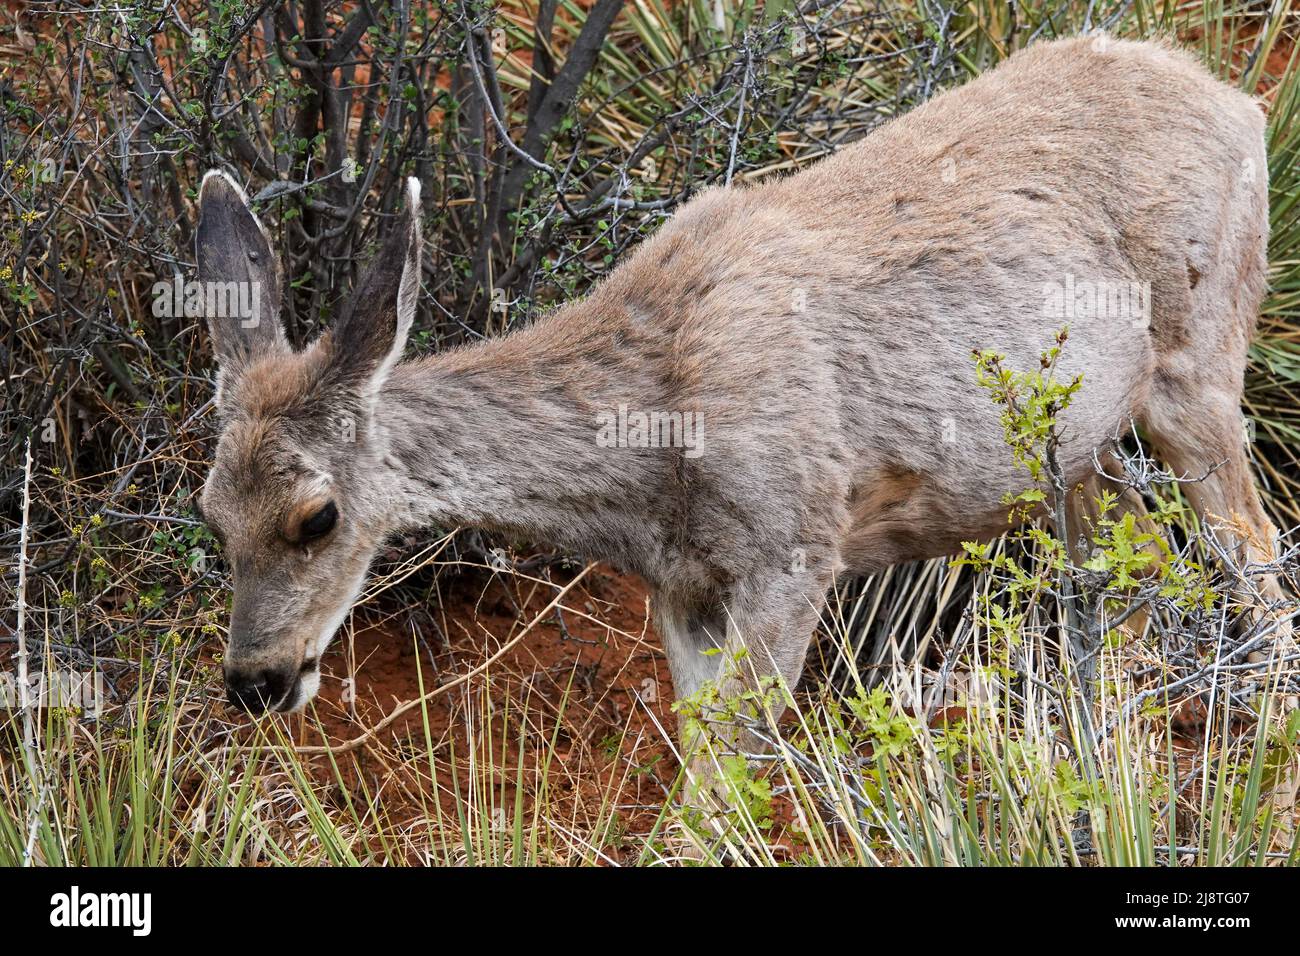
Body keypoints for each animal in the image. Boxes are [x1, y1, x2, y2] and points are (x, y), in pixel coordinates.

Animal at [195, 35, 1292, 793]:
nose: (255, 678)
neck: (653, 430)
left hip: (1198, 362)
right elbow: (700, 763)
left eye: (318, 515)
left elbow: (723, 785)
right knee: (1135, 565)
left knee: (1258, 563)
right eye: (211, 513)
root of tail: (1239, 101)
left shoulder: (795, 545)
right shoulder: (681, 589)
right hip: (1067, 458)